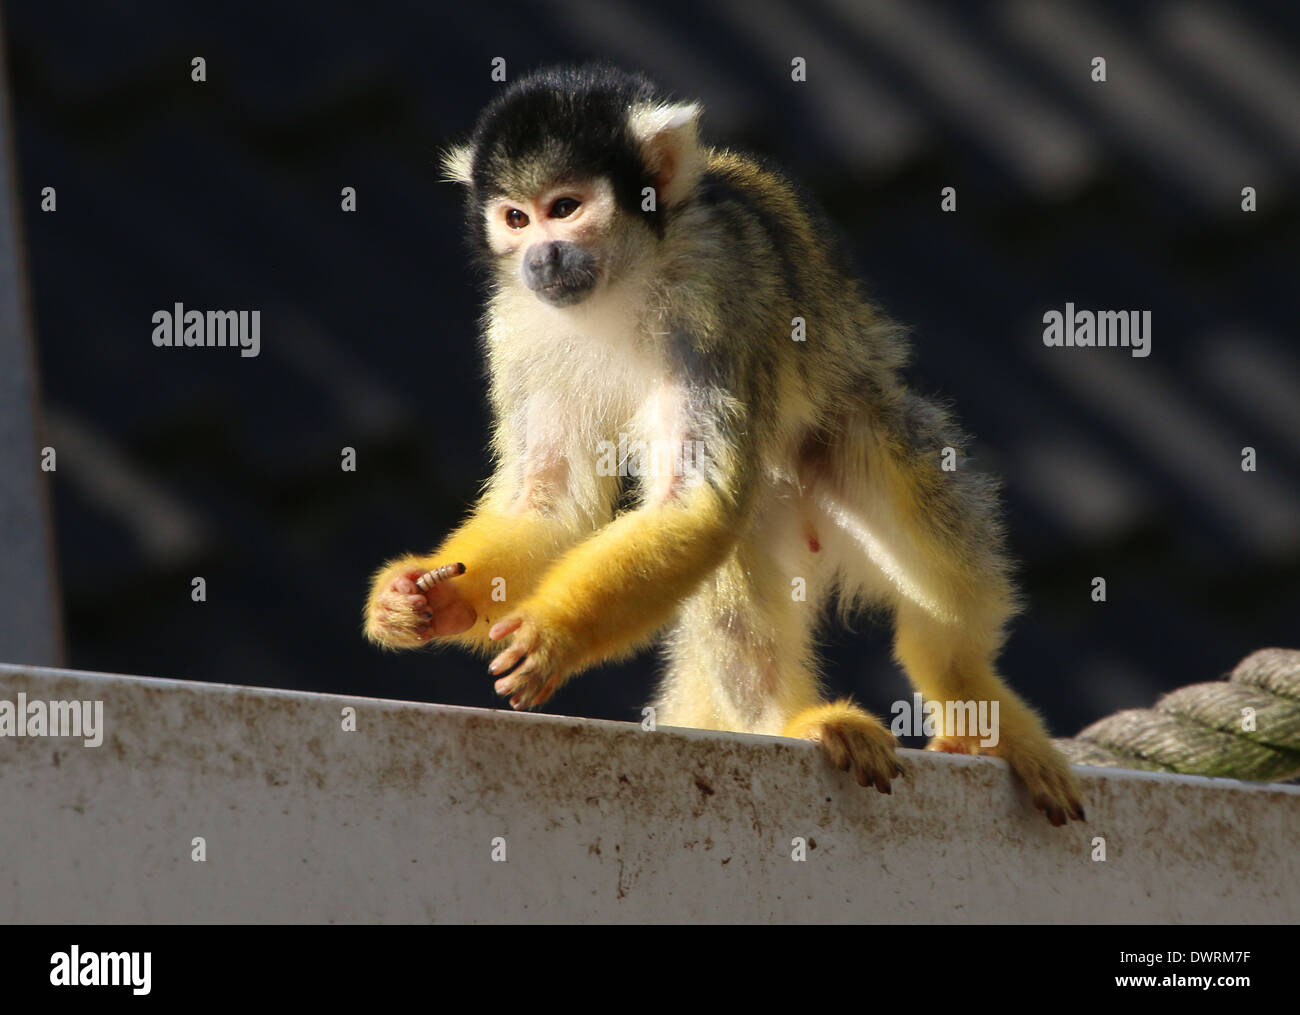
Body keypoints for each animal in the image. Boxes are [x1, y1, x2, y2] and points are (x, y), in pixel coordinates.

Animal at [364, 64, 1085, 826]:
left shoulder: (714, 295)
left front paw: (555, 631)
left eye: (565, 207)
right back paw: (787, 718)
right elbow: (552, 504)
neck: (624, 279)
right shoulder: (516, 323)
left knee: (885, 457)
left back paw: (959, 685)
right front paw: (424, 595)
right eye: (516, 219)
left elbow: (698, 501)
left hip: (839, 451)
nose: (543, 254)